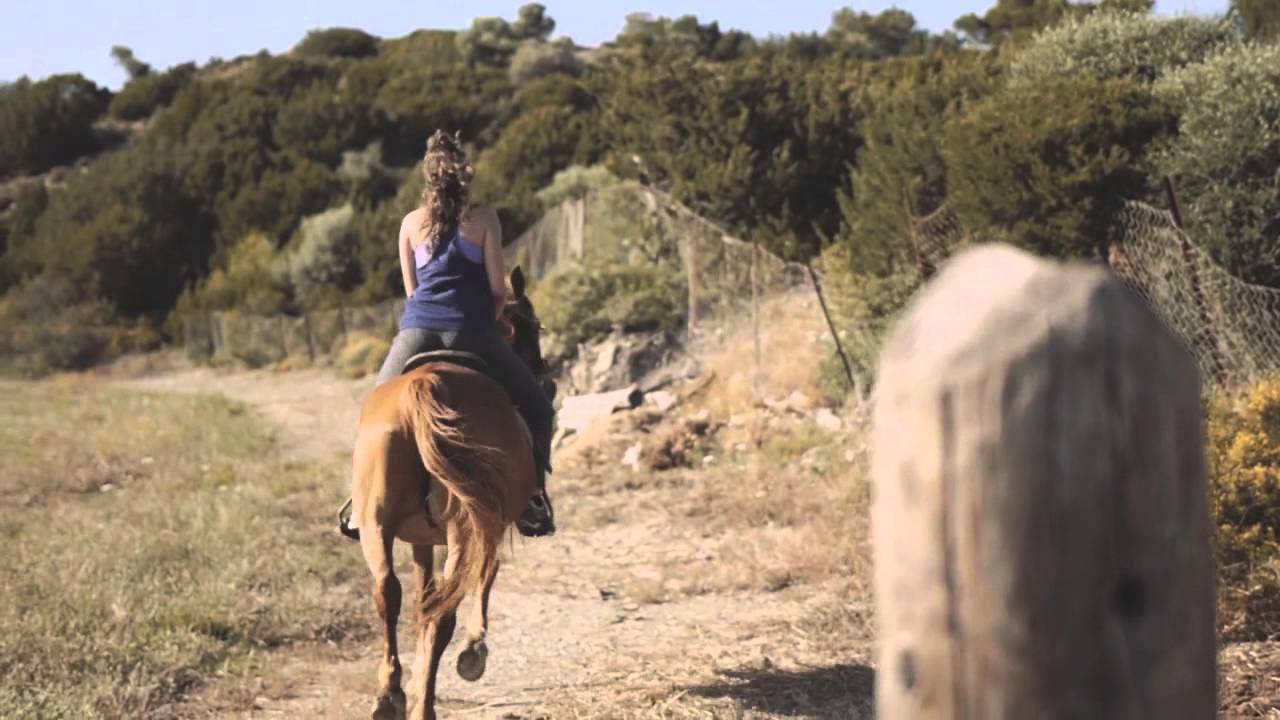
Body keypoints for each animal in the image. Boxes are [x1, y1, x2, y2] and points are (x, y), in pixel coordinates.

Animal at [346, 266, 551, 720]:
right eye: (533, 325)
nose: (542, 368)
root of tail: (425, 385)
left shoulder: (421, 539)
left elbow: (421, 597)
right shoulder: (492, 525)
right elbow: (485, 577)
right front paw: (474, 652)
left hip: (375, 525)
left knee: (388, 592)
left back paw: (390, 694)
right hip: (467, 525)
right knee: (442, 613)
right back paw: (423, 702)